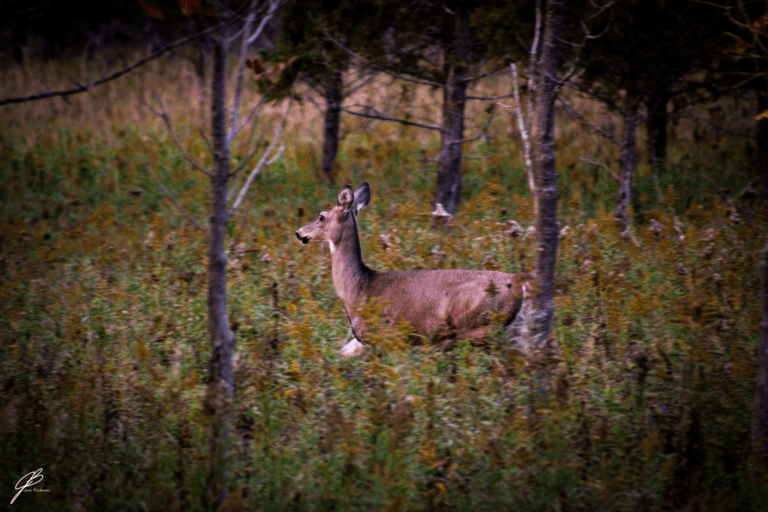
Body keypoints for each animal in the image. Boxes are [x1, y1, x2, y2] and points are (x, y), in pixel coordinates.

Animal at [295, 182, 531, 355]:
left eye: (321, 216)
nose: (299, 233)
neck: (359, 289)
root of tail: (517, 280)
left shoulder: (387, 336)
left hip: (479, 327)